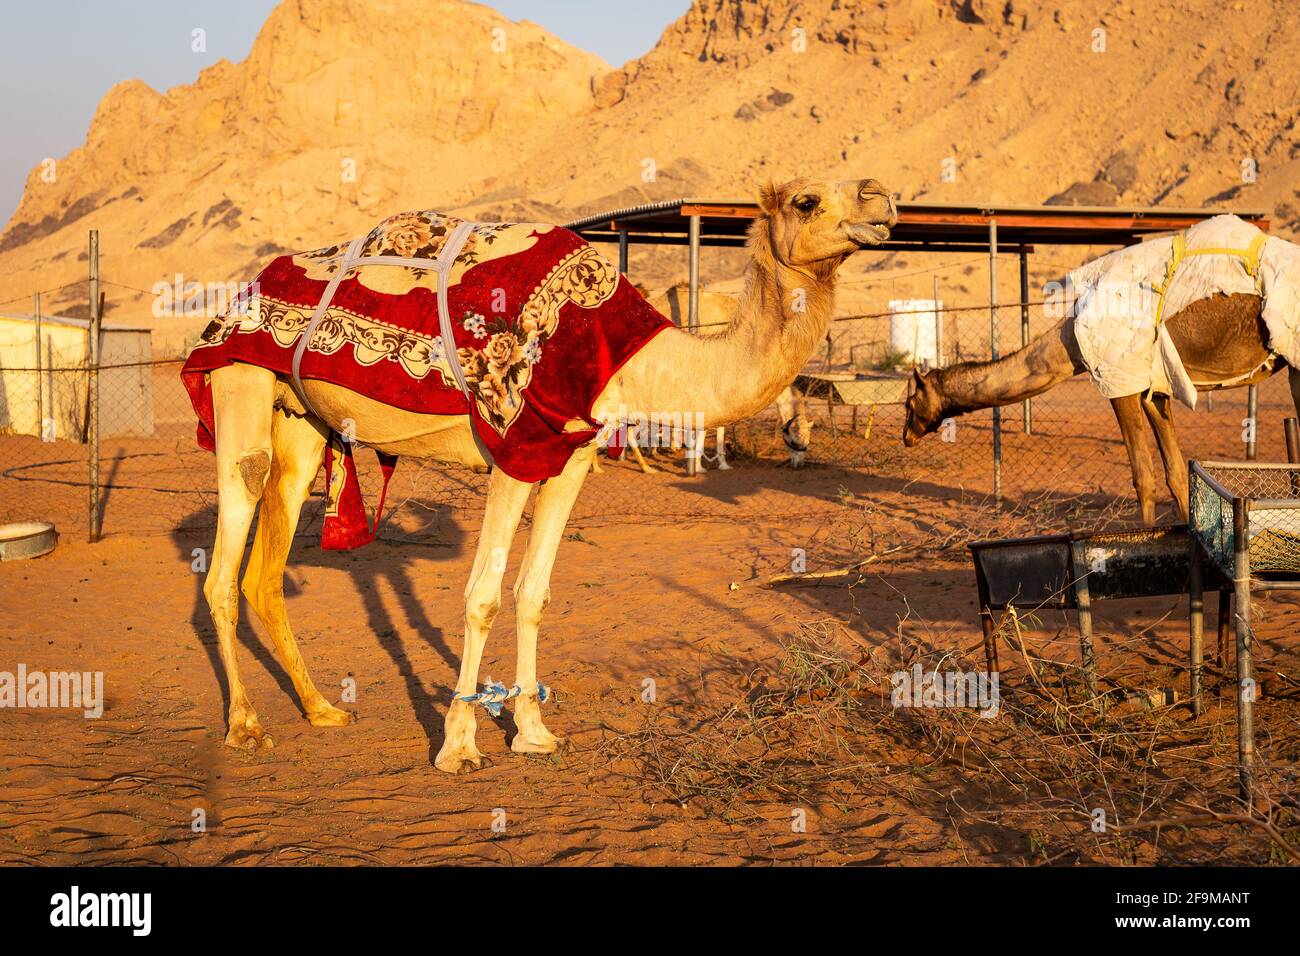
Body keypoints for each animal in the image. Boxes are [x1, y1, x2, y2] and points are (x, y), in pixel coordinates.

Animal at [199, 177, 896, 772]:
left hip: (305, 420)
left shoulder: (572, 459)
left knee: (267, 564)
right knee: (226, 556)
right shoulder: (514, 445)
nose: (882, 199)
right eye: (807, 200)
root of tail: (239, 295)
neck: (632, 358)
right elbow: (481, 596)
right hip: (237, 381)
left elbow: (532, 594)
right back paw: (246, 727)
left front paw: (532, 732)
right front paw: (458, 745)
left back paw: (321, 710)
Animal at [903, 292, 1300, 524]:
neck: (1069, 345)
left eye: (910, 401)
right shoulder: (1153, 390)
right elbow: (1174, 472)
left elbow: (1143, 476)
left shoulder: (1120, 385)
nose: (906, 435)